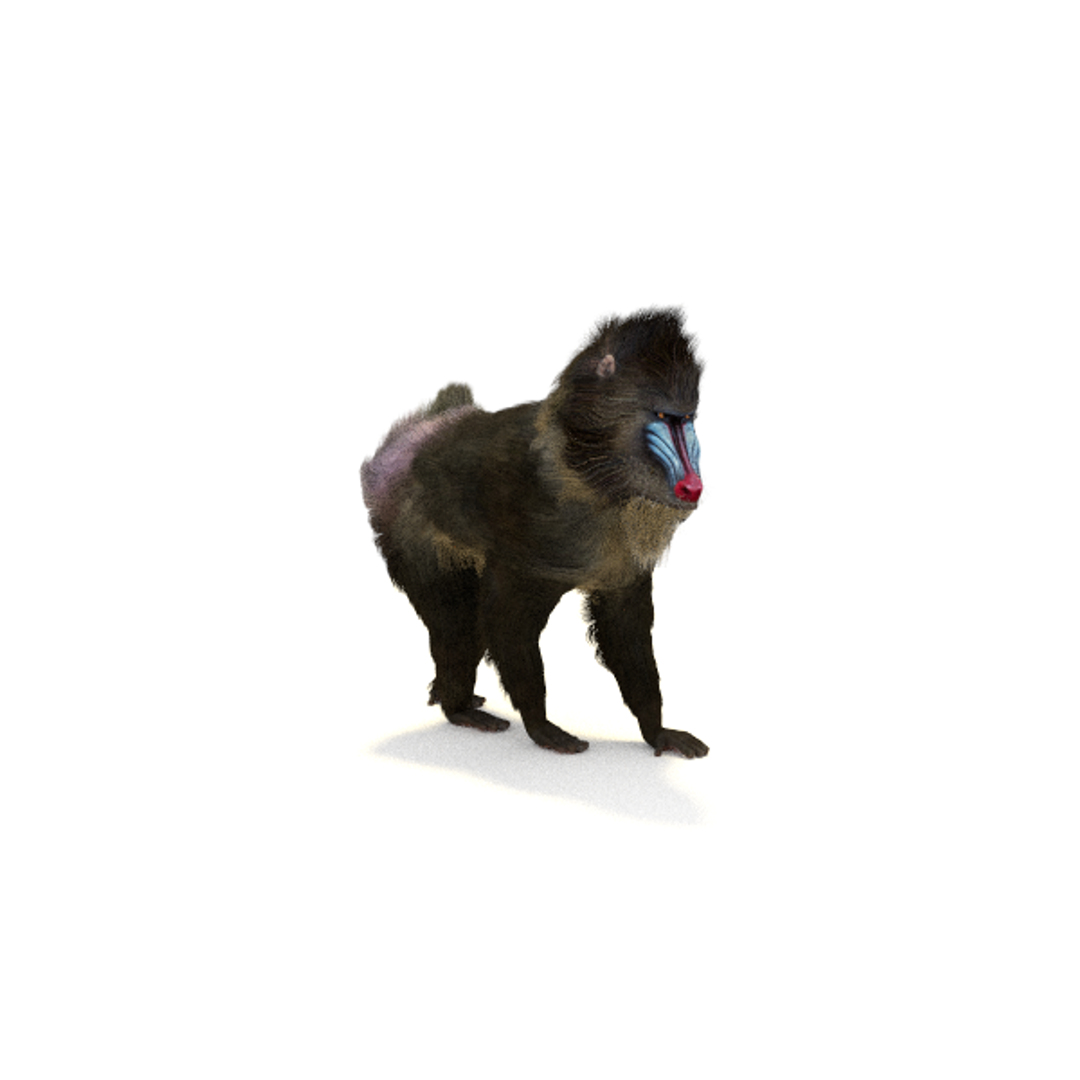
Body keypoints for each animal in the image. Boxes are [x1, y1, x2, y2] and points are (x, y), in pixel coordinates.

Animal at [360, 308, 709, 758]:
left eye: (687, 420)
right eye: (664, 419)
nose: (692, 486)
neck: (590, 475)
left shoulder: (623, 567)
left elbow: (625, 631)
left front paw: (657, 731)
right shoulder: (527, 549)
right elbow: (506, 620)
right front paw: (541, 726)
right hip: (412, 536)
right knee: (458, 623)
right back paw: (459, 708)